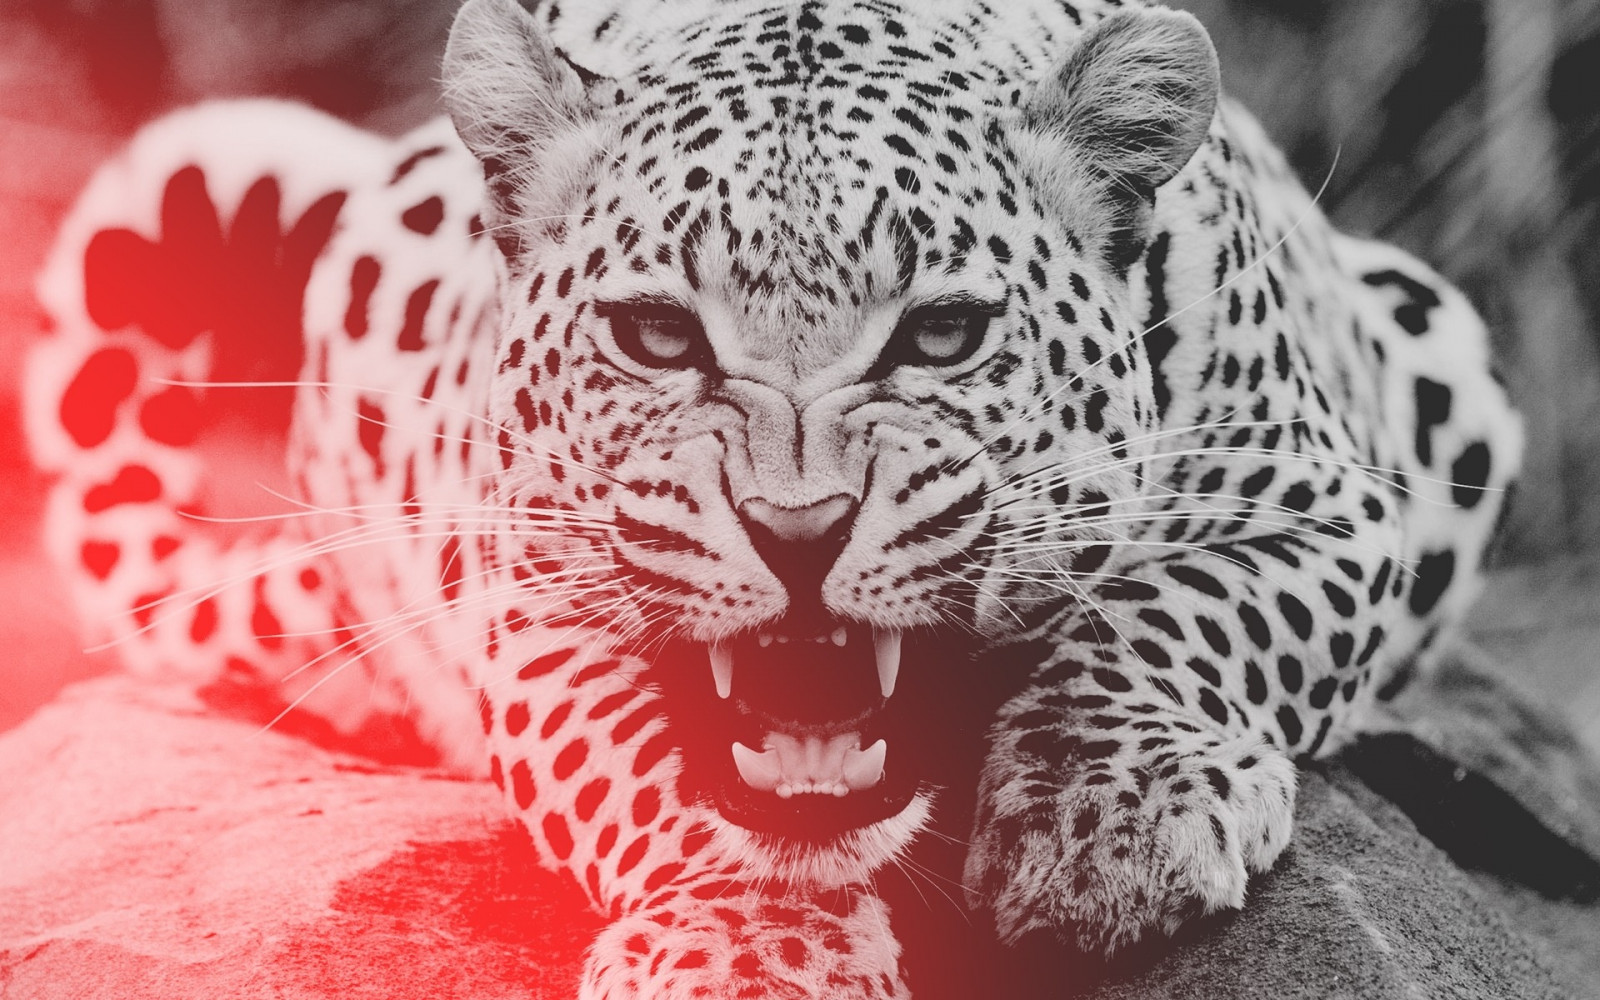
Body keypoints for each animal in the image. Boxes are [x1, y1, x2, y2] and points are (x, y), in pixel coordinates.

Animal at [25, 0, 1522, 996]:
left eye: (941, 335)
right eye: (657, 336)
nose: (798, 532)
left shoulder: (1331, 503)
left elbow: (1181, 615)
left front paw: (1112, 815)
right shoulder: (527, 587)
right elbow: (644, 761)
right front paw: (746, 942)